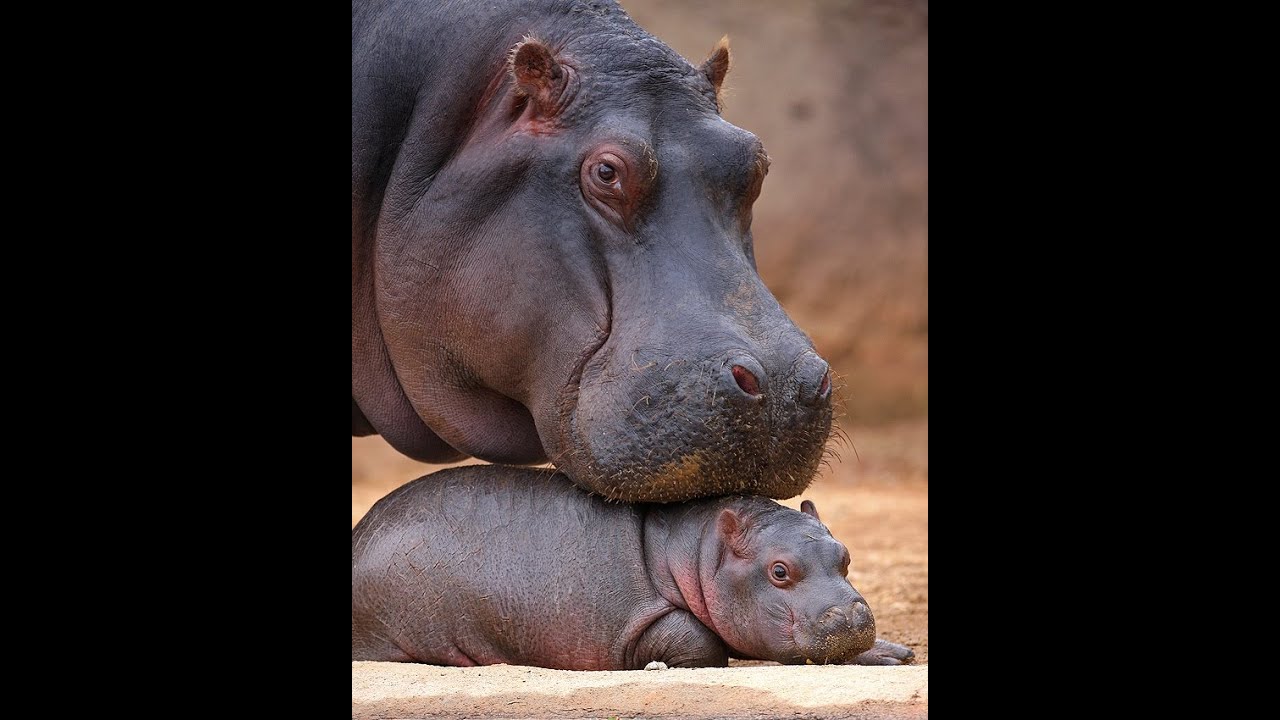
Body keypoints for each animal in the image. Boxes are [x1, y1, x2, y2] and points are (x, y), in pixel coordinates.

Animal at [351, 466, 914, 669]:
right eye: (779, 571)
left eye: (845, 556)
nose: (852, 617)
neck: (695, 548)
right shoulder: (637, 621)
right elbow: (701, 640)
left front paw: (893, 653)